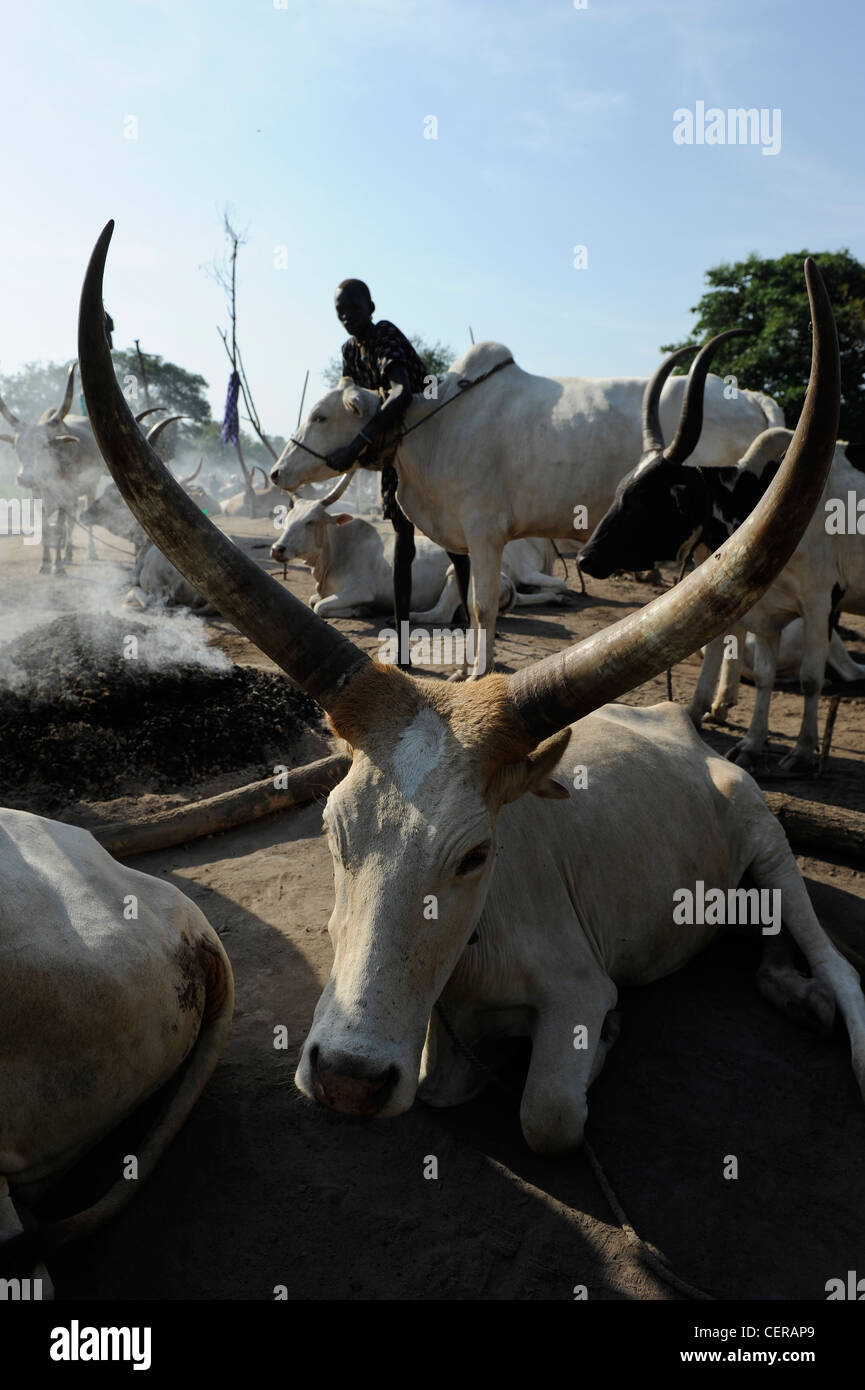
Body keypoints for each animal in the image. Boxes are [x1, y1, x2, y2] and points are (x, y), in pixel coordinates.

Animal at [0, 362, 106, 574]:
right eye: (17, 446)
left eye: (44, 446)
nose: (25, 478)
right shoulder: (37, 497)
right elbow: (45, 528)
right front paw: (45, 564)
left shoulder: (64, 496)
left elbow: (58, 529)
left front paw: (57, 567)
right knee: (72, 522)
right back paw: (68, 554)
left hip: (90, 487)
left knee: (82, 517)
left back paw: (90, 553)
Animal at [269, 336, 781, 677]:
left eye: (320, 416)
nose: (276, 472)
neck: (431, 425)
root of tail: (750, 397)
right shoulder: (461, 539)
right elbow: (469, 603)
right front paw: (468, 668)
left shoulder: (485, 531)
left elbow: (482, 607)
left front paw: (479, 673)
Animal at [580, 336, 865, 774]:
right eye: (620, 490)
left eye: (644, 499)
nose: (586, 558)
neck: (757, 497)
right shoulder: (767, 611)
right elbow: (764, 678)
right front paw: (751, 744)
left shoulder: (821, 603)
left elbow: (810, 679)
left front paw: (801, 752)